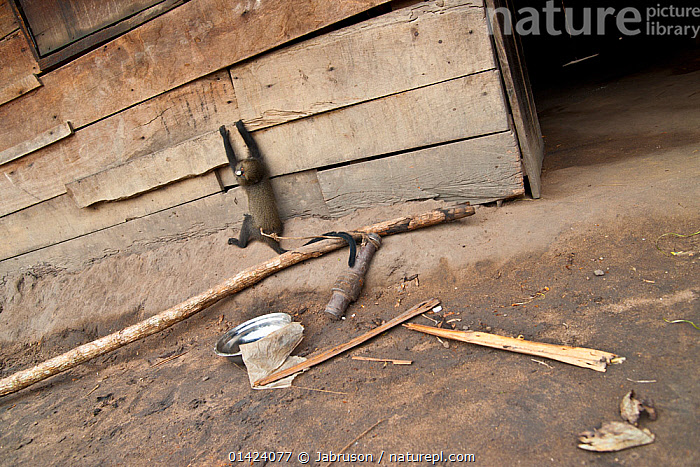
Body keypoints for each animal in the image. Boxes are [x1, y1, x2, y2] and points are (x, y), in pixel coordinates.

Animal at [219, 121, 285, 254]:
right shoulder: (260, 162)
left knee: (247, 222)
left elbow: (232, 162)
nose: (238, 173)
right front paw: (240, 127)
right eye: (242, 169)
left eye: (243, 172)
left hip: (255, 230)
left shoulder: (244, 181)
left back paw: (240, 244)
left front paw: (224, 135)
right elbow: (253, 146)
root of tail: (270, 237)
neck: (258, 179)